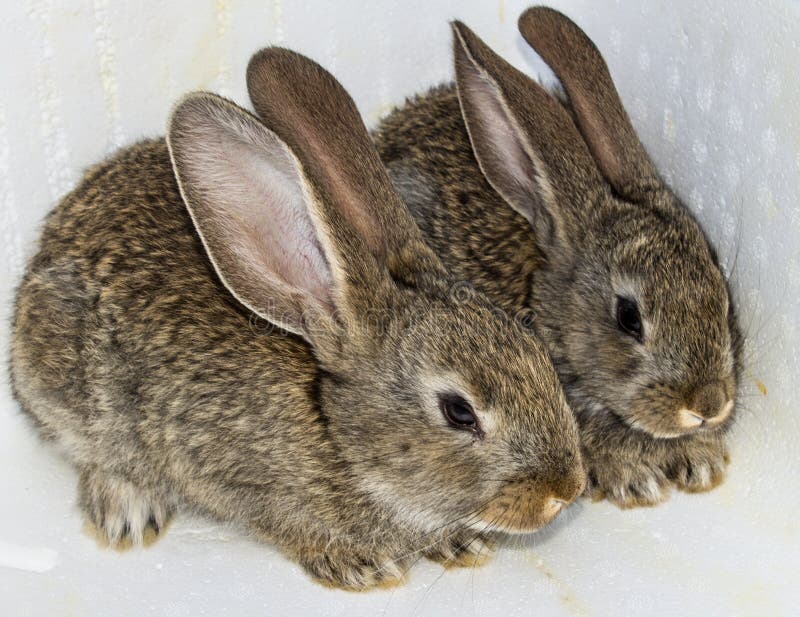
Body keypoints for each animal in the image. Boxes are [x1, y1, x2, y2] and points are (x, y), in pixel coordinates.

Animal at [8, 46, 586, 591]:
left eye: (539, 353)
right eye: (459, 412)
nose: (564, 492)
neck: (335, 432)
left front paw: (459, 542)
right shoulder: (243, 479)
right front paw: (359, 564)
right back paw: (126, 509)